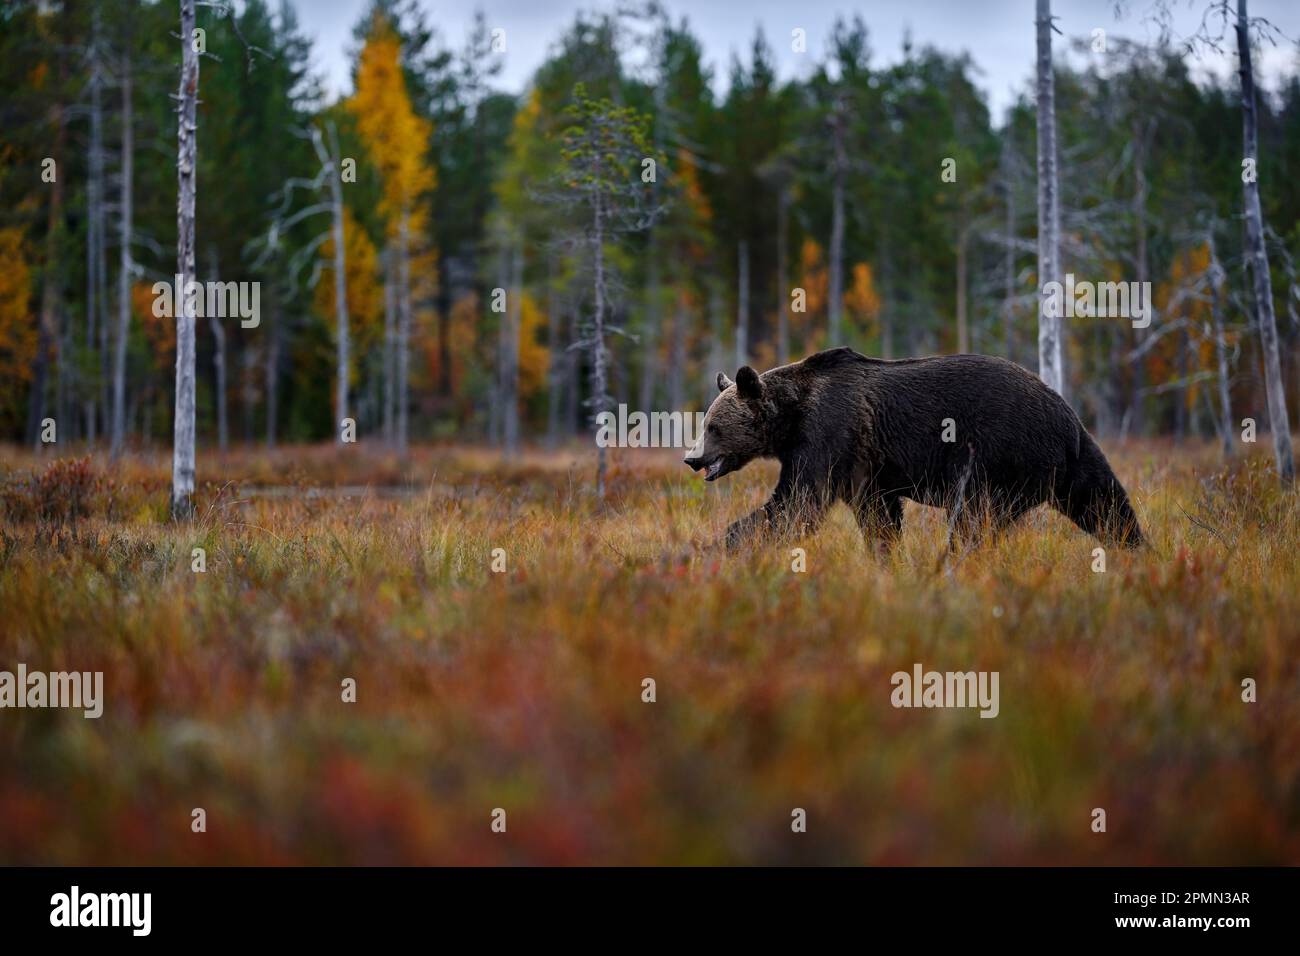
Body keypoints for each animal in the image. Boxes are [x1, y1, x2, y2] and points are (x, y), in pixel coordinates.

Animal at [683, 347, 1144, 553]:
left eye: (713, 426)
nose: (691, 458)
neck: (792, 415)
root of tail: (1064, 414)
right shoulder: (865, 468)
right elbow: (879, 516)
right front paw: (888, 558)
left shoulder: (830, 434)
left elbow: (797, 503)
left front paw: (722, 545)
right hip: (1072, 462)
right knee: (1104, 503)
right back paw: (1139, 551)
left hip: (998, 454)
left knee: (974, 518)